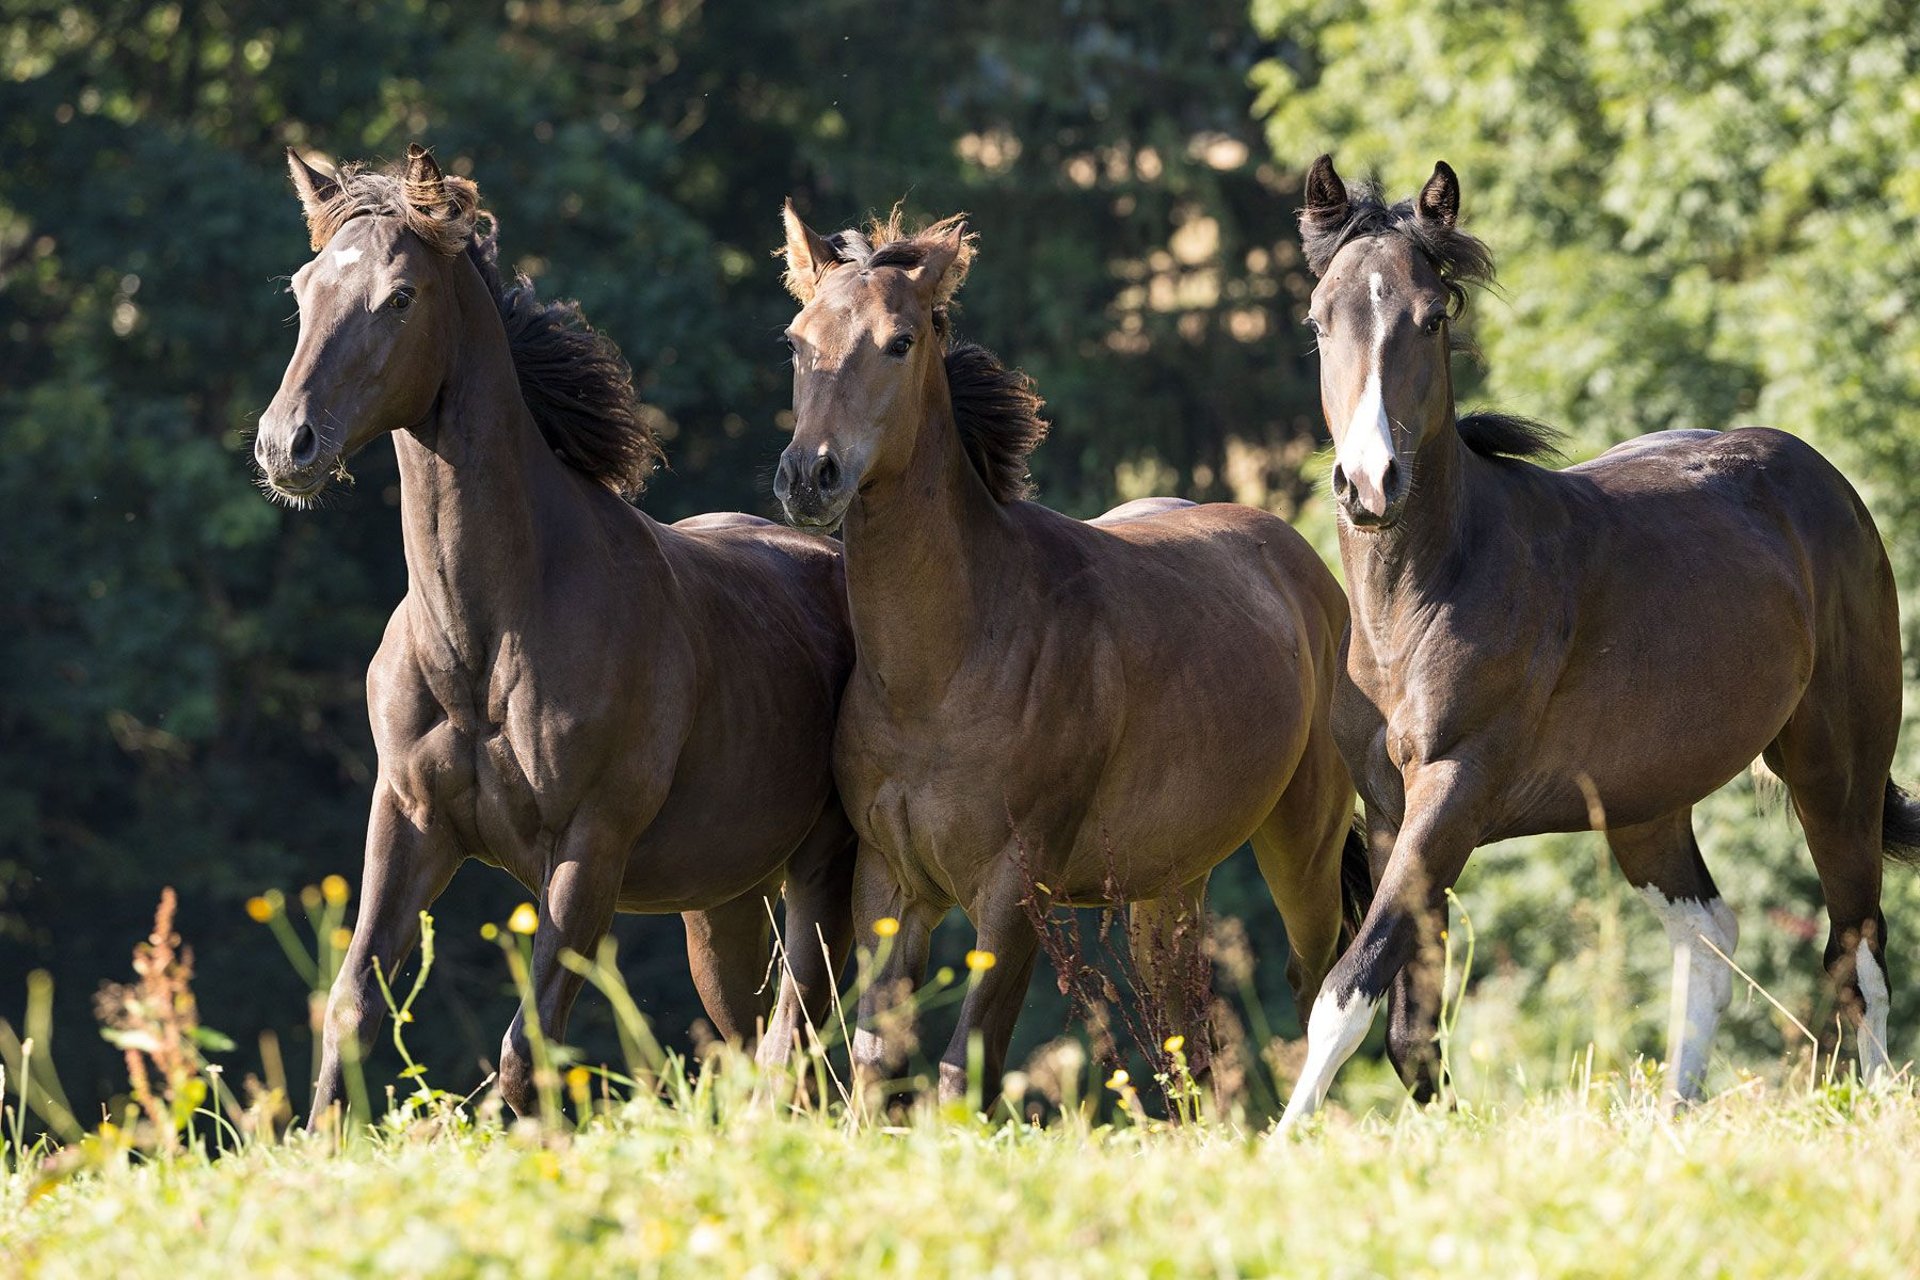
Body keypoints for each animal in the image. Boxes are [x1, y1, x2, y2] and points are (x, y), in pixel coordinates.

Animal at [254, 147, 857, 1117]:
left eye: (399, 296)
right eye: (305, 288)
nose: (287, 446)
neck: (487, 636)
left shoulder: (589, 848)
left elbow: (525, 1050)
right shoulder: (409, 820)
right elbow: (351, 1007)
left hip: (820, 880)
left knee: (797, 1041)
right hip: (720, 906)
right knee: (751, 1038)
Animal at [770, 203, 1372, 1103]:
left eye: (900, 341)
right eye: (797, 339)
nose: (812, 475)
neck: (943, 670)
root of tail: (1307, 570)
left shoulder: (1017, 888)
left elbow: (963, 1065)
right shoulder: (889, 880)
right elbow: (877, 1059)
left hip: (1305, 843)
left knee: (1314, 986)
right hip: (1167, 889)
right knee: (1187, 1043)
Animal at [1280, 154, 1919, 1127]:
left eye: (1433, 317)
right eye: (1320, 320)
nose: (1370, 483)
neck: (1426, 595)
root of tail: (1828, 484)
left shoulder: (1453, 795)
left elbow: (1347, 995)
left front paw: (1278, 1142)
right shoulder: (1391, 815)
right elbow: (1408, 1031)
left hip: (1835, 769)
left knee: (1858, 952)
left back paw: (1871, 1101)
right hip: (1645, 803)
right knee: (1710, 933)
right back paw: (1676, 1114)